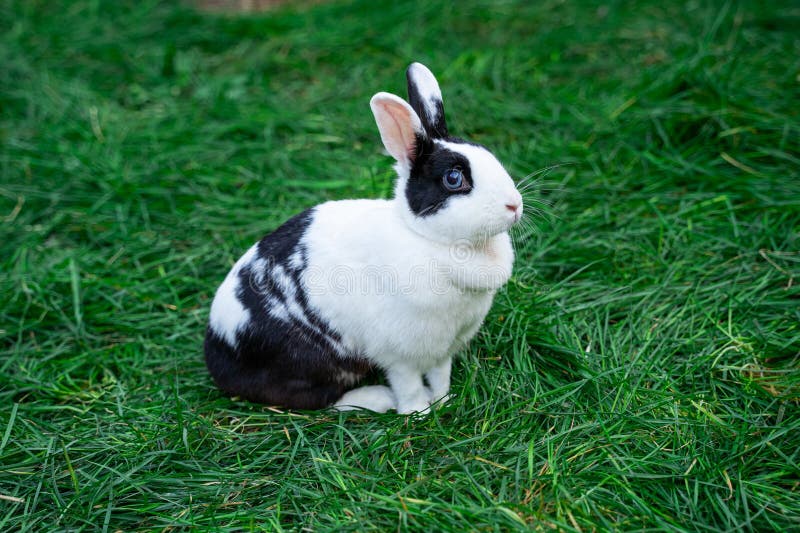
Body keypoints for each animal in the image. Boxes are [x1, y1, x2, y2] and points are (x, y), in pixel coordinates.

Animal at [204, 62, 522, 414]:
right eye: (454, 179)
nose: (515, 205)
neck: (429, 239)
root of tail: (217, 356)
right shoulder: (401, 353)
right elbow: (408, 383)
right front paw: (419, 412)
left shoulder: (444, 348)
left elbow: (441, 375)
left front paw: (444, 401)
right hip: (310, 363)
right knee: (315, 399)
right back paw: (376, 398)